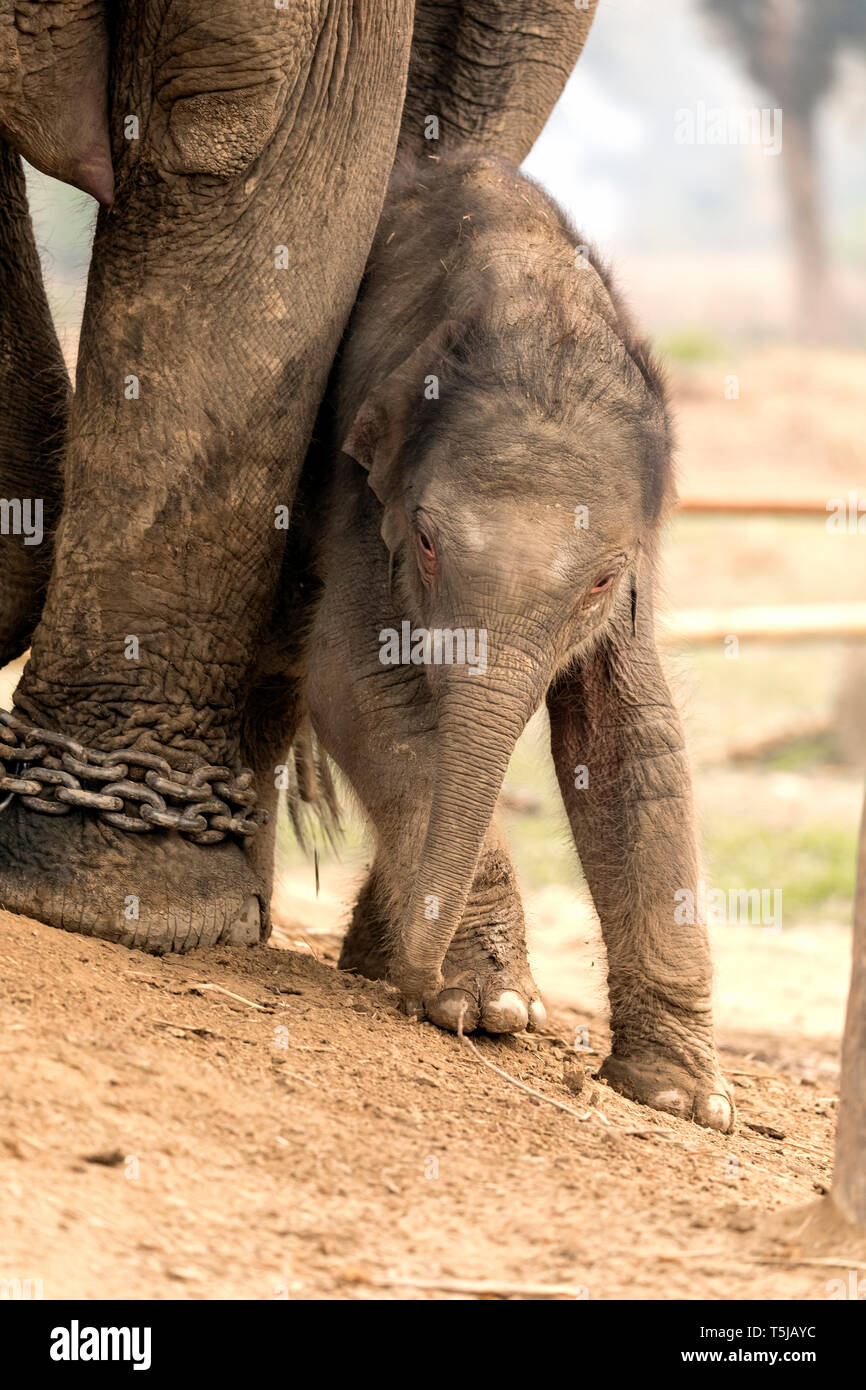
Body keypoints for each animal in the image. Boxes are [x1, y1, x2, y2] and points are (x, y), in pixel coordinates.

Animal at [289, 149, 735, 1132]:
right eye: (424, 541)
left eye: (601, 581)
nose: (417, 993)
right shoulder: (356, 466)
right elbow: (353, 680)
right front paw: (492, 1009)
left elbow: (630, 735)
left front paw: (685, 1100)